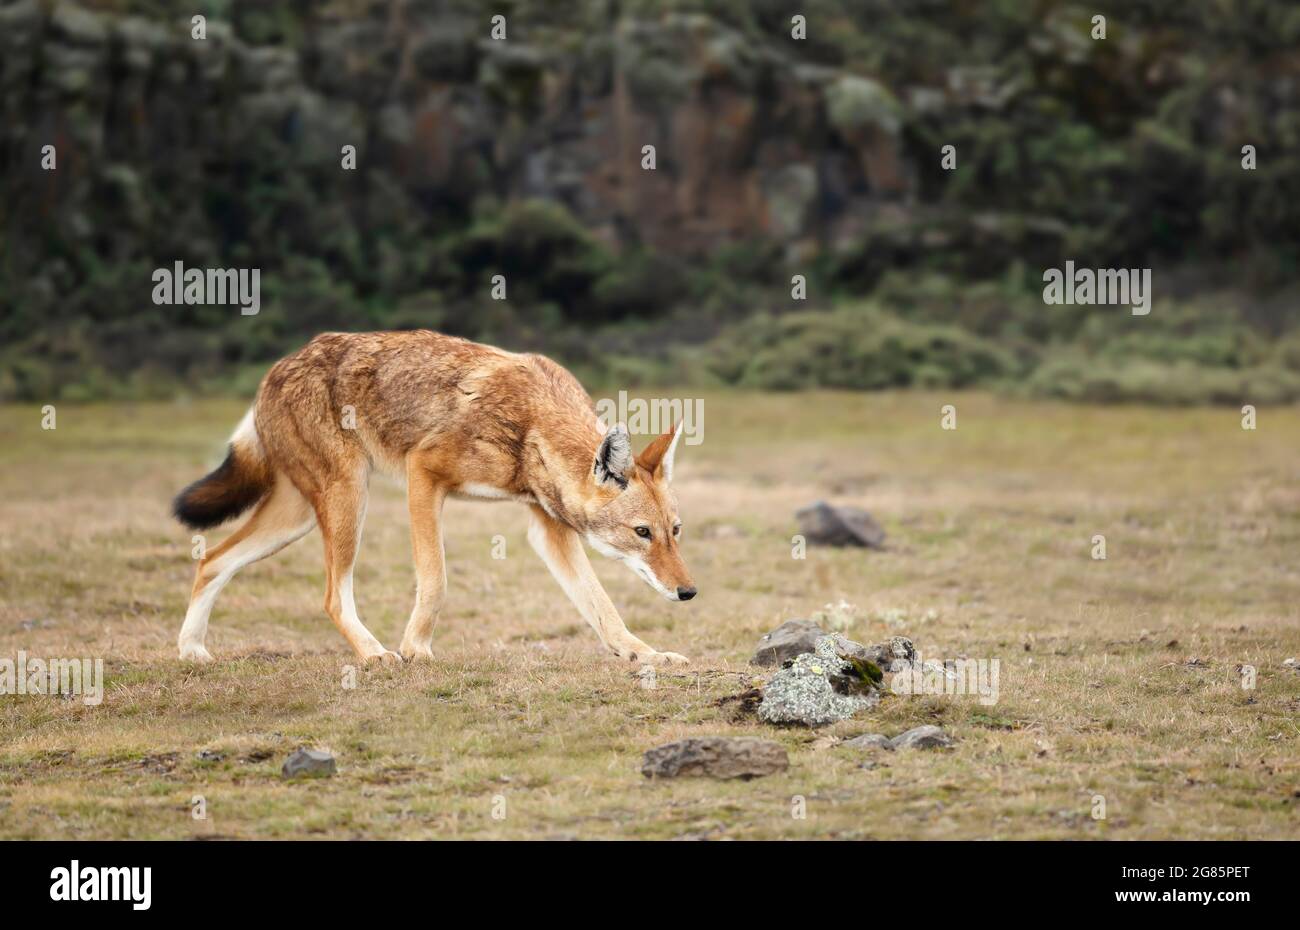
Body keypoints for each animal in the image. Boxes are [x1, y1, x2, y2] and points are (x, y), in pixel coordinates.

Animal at [172, 331, 696, 666]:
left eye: (675, 531)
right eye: (642, 533)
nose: (688, 592)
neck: (531, 425)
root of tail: (276, 369)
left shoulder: (548, 528)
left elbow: (602, 606)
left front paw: (643, 654)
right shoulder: (423, 475)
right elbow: (436, 579)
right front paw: (416, 649)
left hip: (298, 517)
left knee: (211, 560)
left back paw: (192, 652)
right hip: (348, 500)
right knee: (331, 597)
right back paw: (375, 654)